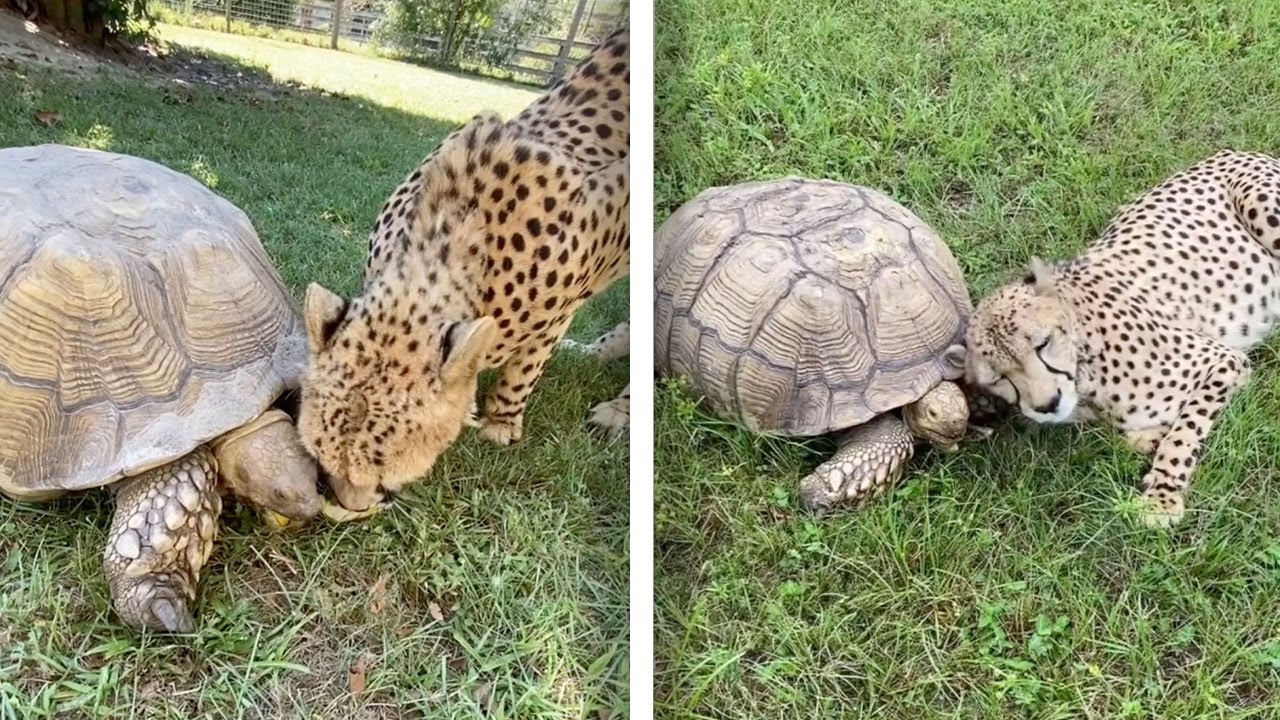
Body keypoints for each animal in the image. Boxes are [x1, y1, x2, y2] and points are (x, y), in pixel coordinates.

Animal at [296, 28, 630, 514]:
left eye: (383, 472)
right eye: (322, 459)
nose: (353, 506)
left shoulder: (562, 306)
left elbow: (526, 366)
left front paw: (500, 421)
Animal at [965, 150, 1280, 528]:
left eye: (1042, 344)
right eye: (1000, 377)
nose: (1048, 404)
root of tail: (1233, 151)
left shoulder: (1222, 360)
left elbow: (1184, 432)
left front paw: (1162, 496)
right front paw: (1147, 438)